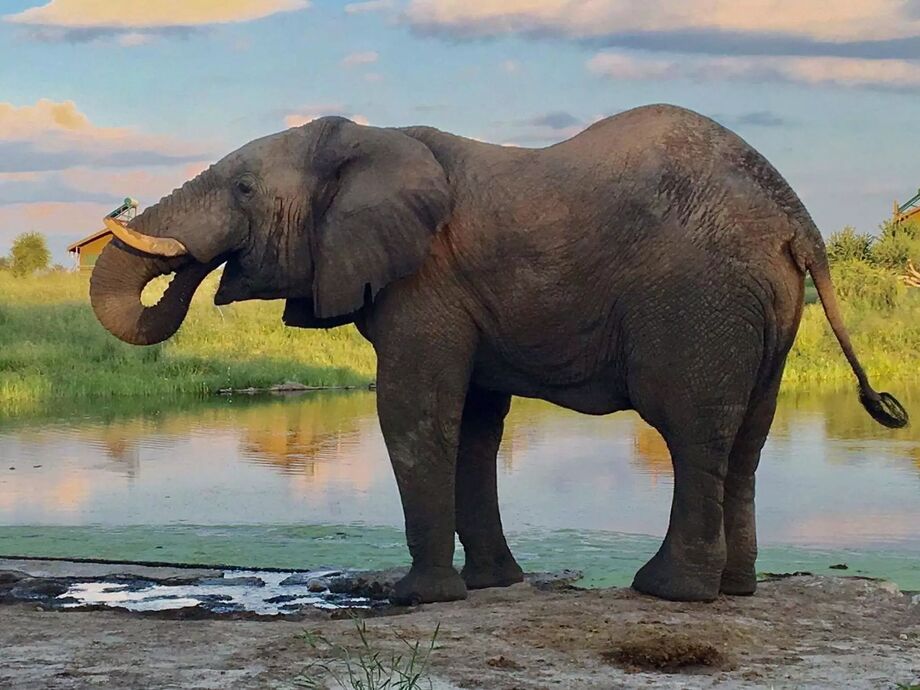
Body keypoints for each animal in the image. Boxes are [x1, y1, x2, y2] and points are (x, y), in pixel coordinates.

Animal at [89, 103, 909, 605]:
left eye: (244, 188)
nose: (200, 271)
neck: (370, 136)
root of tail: (796, 220)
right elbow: (477, 425)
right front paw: (492, 587)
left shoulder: (425, 283)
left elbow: (414, 409)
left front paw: (416, 598)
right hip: (765, 311)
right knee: (748, 441)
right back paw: (735, 590)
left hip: (700, 303)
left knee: (692, 432)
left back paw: (667, 591)